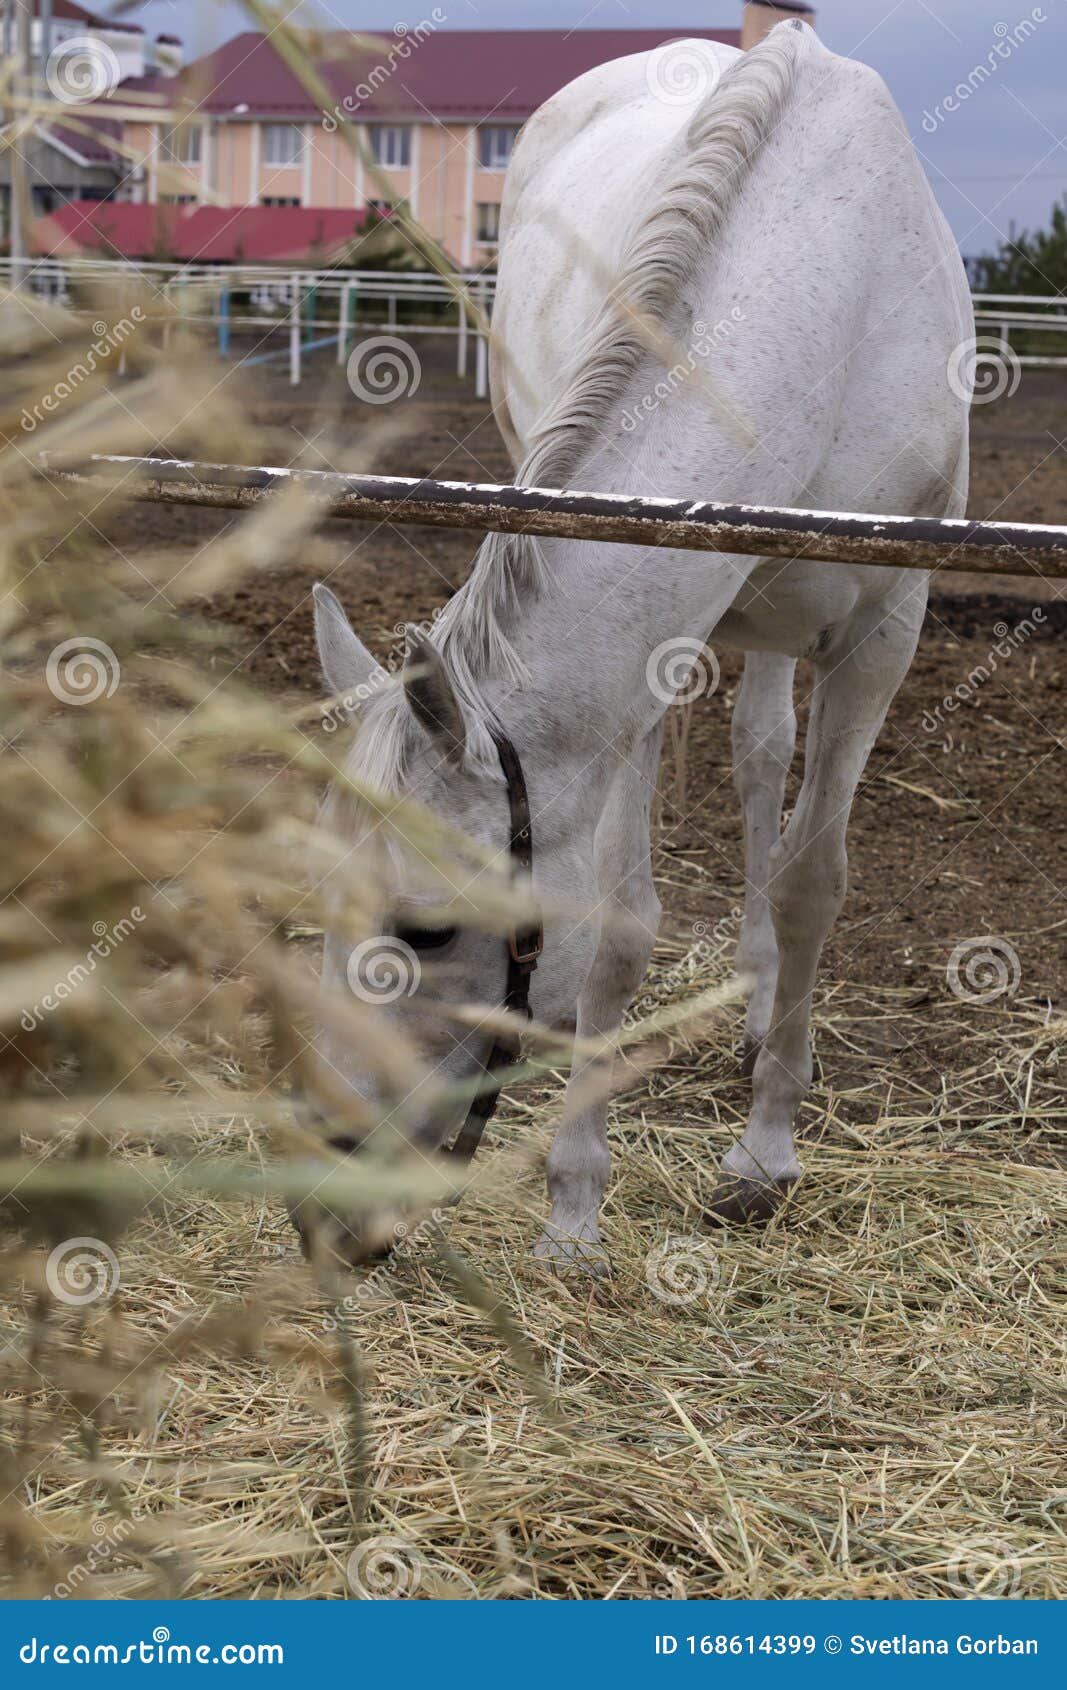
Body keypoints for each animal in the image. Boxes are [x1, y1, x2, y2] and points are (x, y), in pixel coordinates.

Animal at [304, 21, 972, 1270]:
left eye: (425, 928)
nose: (322, 1208)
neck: (830, 293)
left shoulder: (881, 635)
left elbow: (812, 880)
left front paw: (764, 1151)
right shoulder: (647, 656)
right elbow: (618, 921)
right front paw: (575, 1200)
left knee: (765, 759)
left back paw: (759, 1009)